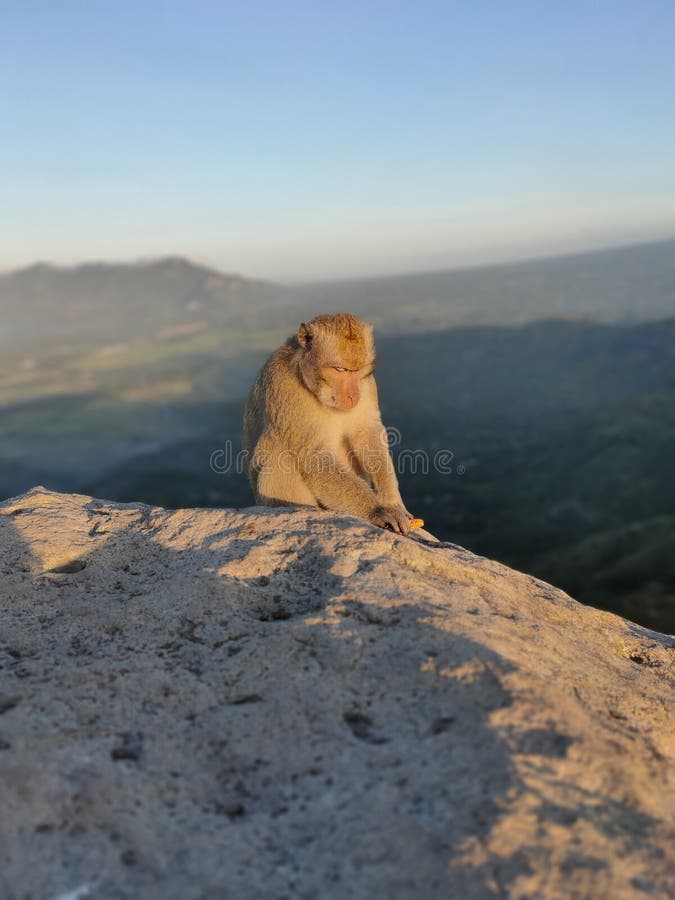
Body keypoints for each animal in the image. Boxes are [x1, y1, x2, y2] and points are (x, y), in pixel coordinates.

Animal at [242, 313, 414, 534]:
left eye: (356, 370)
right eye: (340, 369)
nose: (353, 395)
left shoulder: (367, 384)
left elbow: (366, 432)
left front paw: (392, 503)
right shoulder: (282, 383)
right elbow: (311, 455)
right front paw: (378, 511)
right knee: (282, 459)